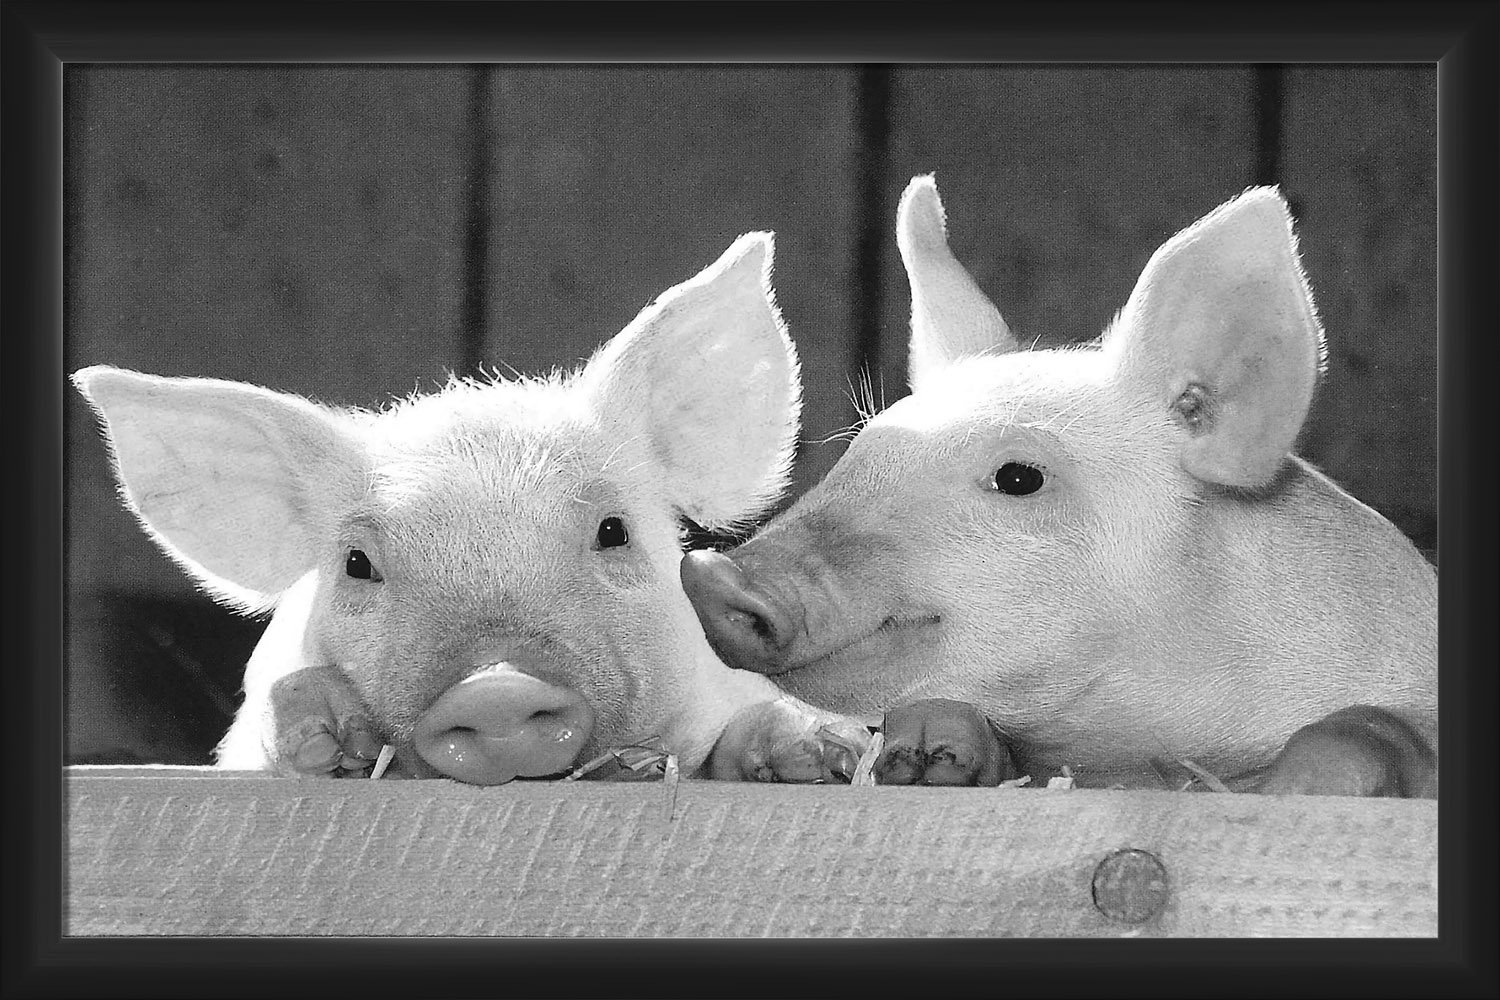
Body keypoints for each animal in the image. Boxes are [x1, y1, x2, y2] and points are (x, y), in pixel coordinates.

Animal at [682, 177, 1438, 798]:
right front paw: (897, 746)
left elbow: (1371, 729)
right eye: (864, 449)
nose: (711, 573)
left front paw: (1288, 790)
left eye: (1019, 477)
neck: (1141, 746)